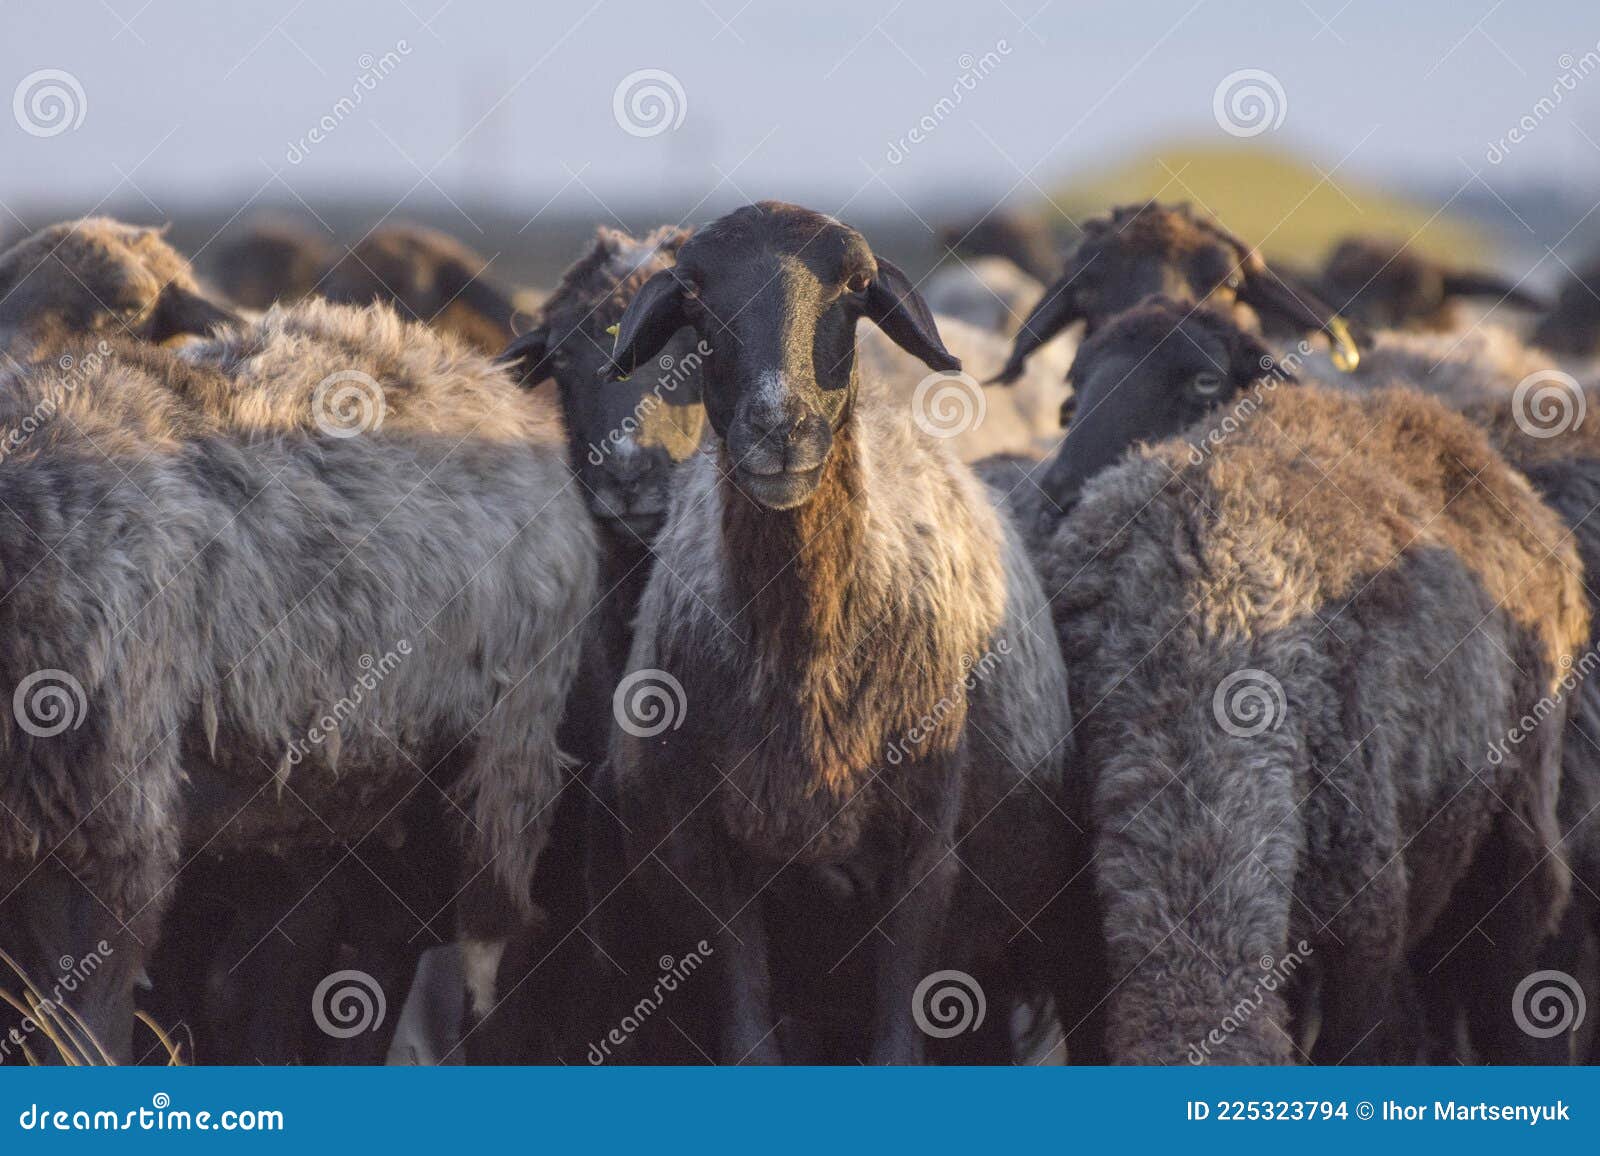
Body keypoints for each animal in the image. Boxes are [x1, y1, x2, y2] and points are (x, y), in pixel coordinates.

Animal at [0, 297, 596, 1062]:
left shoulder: (100, 841)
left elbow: (81, 1030)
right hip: (340, 808)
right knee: (344, 956)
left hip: (505, 766)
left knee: (496, 956)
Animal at [599, 202, 1090, 1064]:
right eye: (692, 295)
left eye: (857, 287)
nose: (780, 429)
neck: (805, 655)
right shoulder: (709, 872)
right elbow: (749, 1044)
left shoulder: (925, 861)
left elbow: (897, 1046)